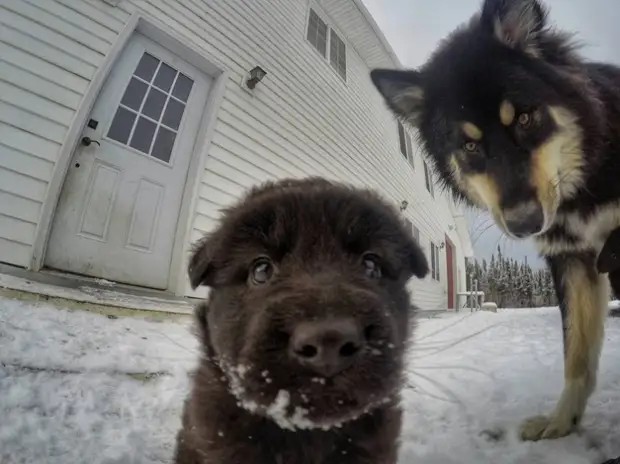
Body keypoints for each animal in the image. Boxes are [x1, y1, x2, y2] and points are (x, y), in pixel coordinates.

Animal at [370, 0, 620, 442]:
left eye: (524, 118)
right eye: (469, 145)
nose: (525, 223)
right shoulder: (573, 260)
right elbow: (576, 353)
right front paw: (562, 421)